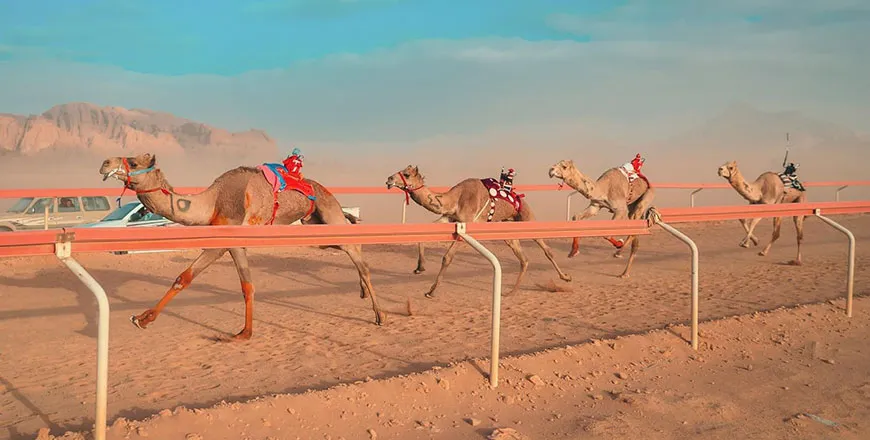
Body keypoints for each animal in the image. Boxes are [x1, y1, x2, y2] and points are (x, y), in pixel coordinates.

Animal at [99, 153, 384, 340]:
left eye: (134, 162)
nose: (104, 163)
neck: (212, 201)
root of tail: (326, 191)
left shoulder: (229, 236)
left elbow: (243, 284)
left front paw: (244, 333)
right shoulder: (227, 241)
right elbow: (188, 277)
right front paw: (142, 319)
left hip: (328, 213)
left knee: (358, 255)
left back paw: (380, 315)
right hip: (315, 227)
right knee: (351, 246)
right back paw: (362, 291)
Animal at [385, 165, 572, 298]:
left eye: (406, 174)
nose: (388, 179)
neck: (454, 199)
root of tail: (520, 199)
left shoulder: (465, 223)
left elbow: (447, 257)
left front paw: (431, 291)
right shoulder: (449, 218)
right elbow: (423, 237)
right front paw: (419, 267)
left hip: (527, 218)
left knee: (546, 249)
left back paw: (566, 277)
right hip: (507, 227)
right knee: (523, 258)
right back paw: (510, 292)